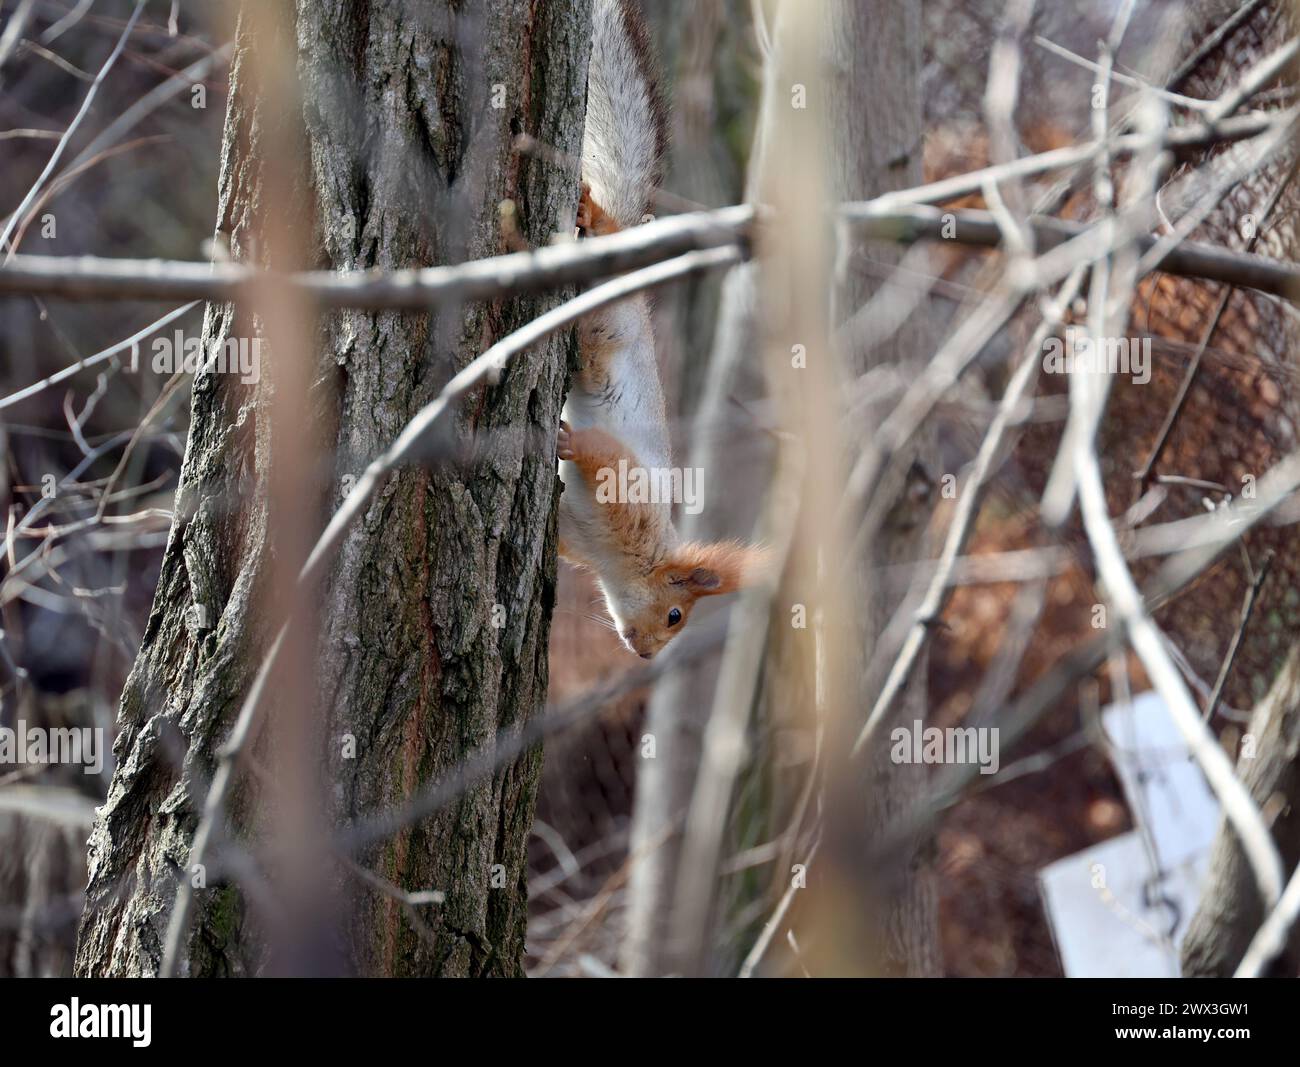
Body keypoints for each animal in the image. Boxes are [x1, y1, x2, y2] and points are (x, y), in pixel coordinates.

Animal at [557, 0, 766, 660]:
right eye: (675, 614)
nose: (646, 654)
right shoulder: (629, 491)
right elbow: (600, 455)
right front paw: (568, 444)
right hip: (609, 320)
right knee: (602, 235)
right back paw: (590, 212)